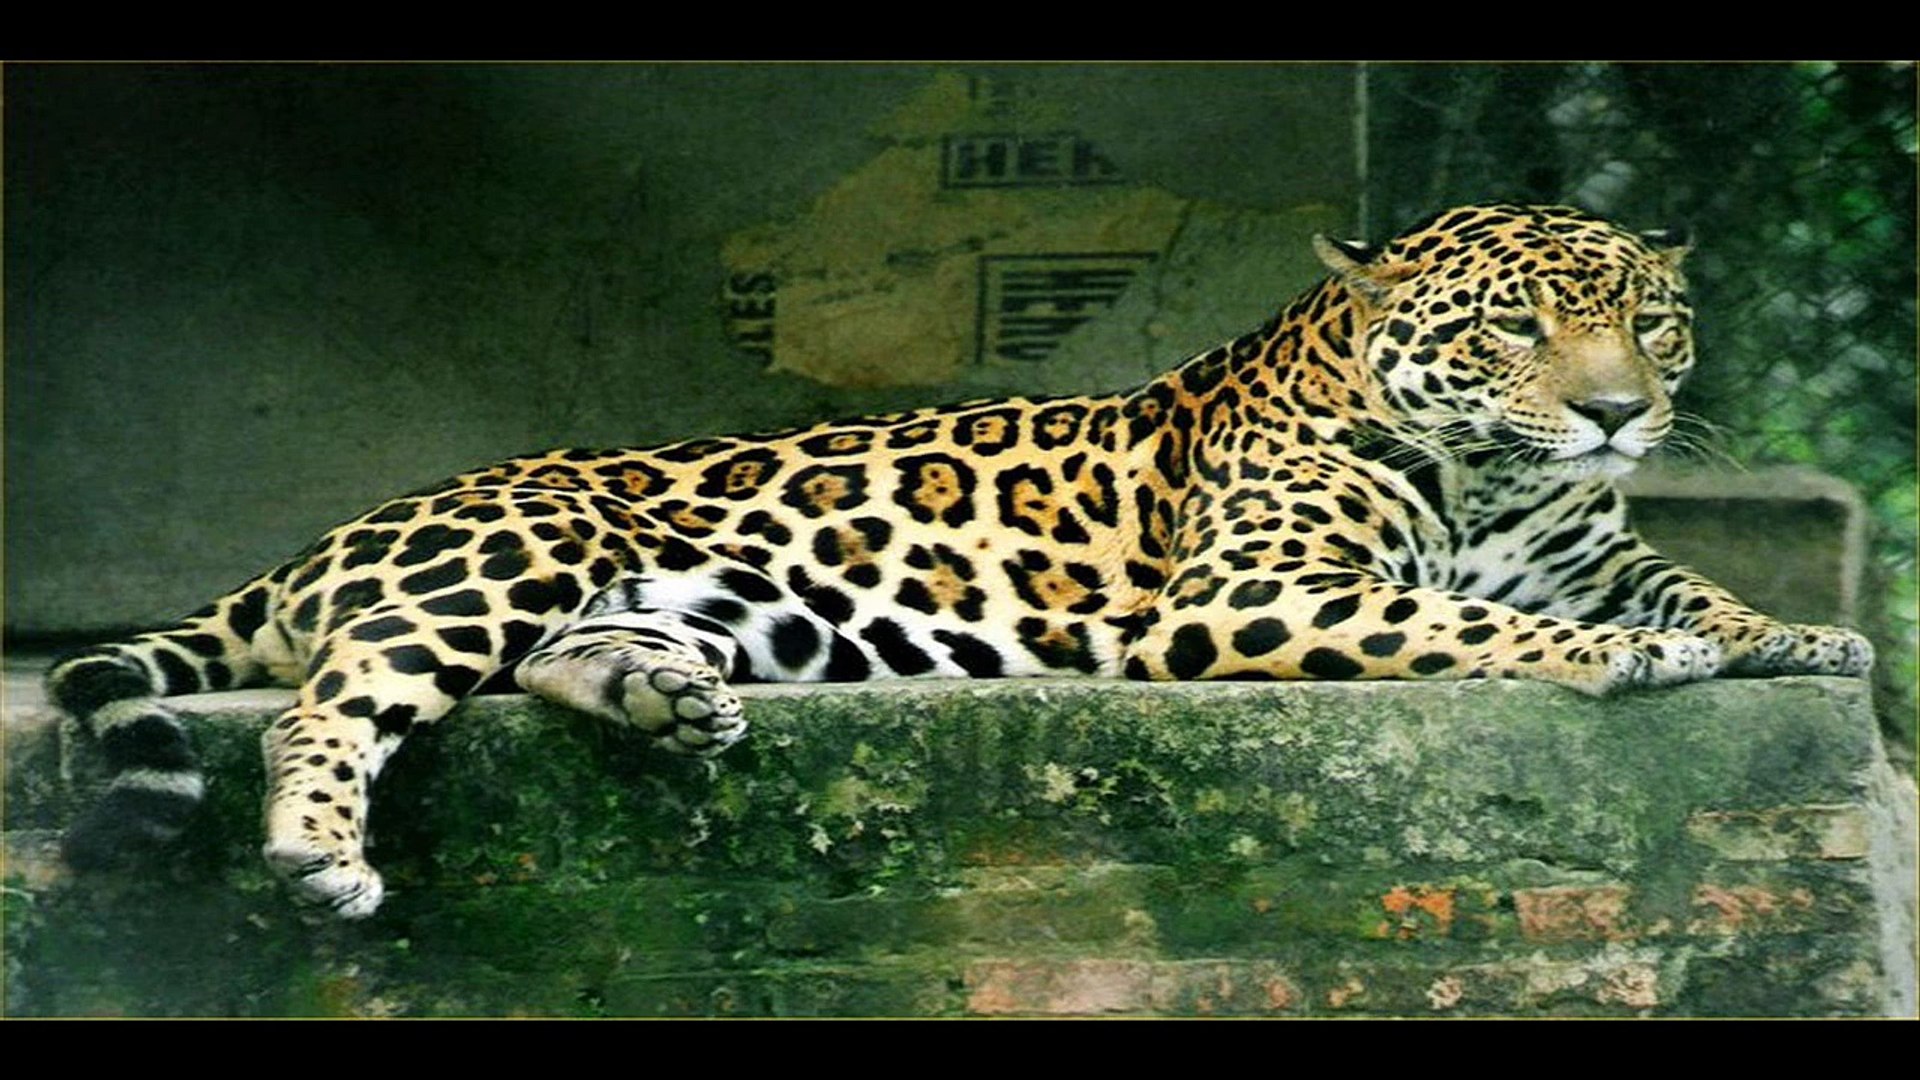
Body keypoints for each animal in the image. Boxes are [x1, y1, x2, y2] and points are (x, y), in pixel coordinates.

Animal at [45, 203, 1873, 919]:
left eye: (1647, 321)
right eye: (1512, 331)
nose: (1623, 414)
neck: (1489, 480)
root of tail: (335, 534)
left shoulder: (1585, 546)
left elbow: (1689, 585)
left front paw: (1802, 638)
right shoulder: (1253, 596)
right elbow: (1456, 621)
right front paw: (1618, 662)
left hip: (625, 593)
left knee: (544, 662)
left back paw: (664, 697)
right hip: (510, 548)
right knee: (330, 700)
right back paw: (318, 853)